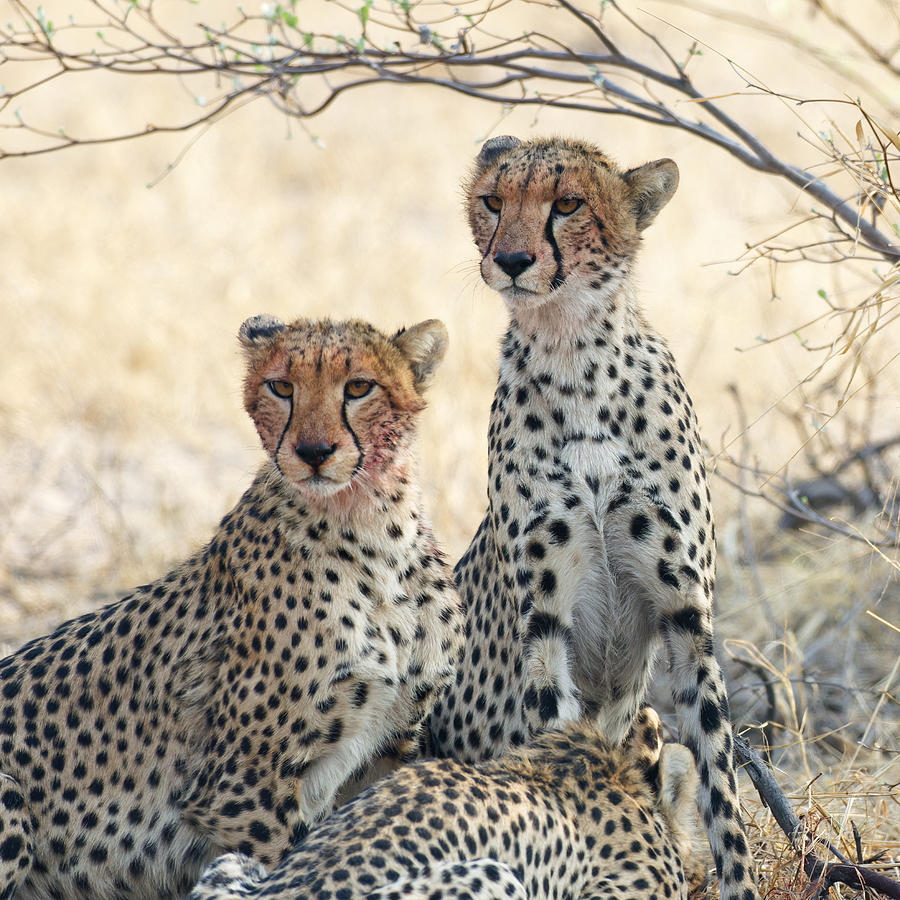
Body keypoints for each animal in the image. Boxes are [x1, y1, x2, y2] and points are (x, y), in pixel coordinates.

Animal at [0, 314, 465, 899]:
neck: (370, 530)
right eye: (281, 387)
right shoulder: (242, 788)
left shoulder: (385, 751)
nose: (314, 451)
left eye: (359, 387)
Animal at [428, 135, 759, 900]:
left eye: (569, 203)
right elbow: (556, 740)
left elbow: (721, 778)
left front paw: (740, 882)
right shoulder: (544, 620)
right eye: (493, 201)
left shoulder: (685, 612)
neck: (574, 352)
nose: (512, 259)